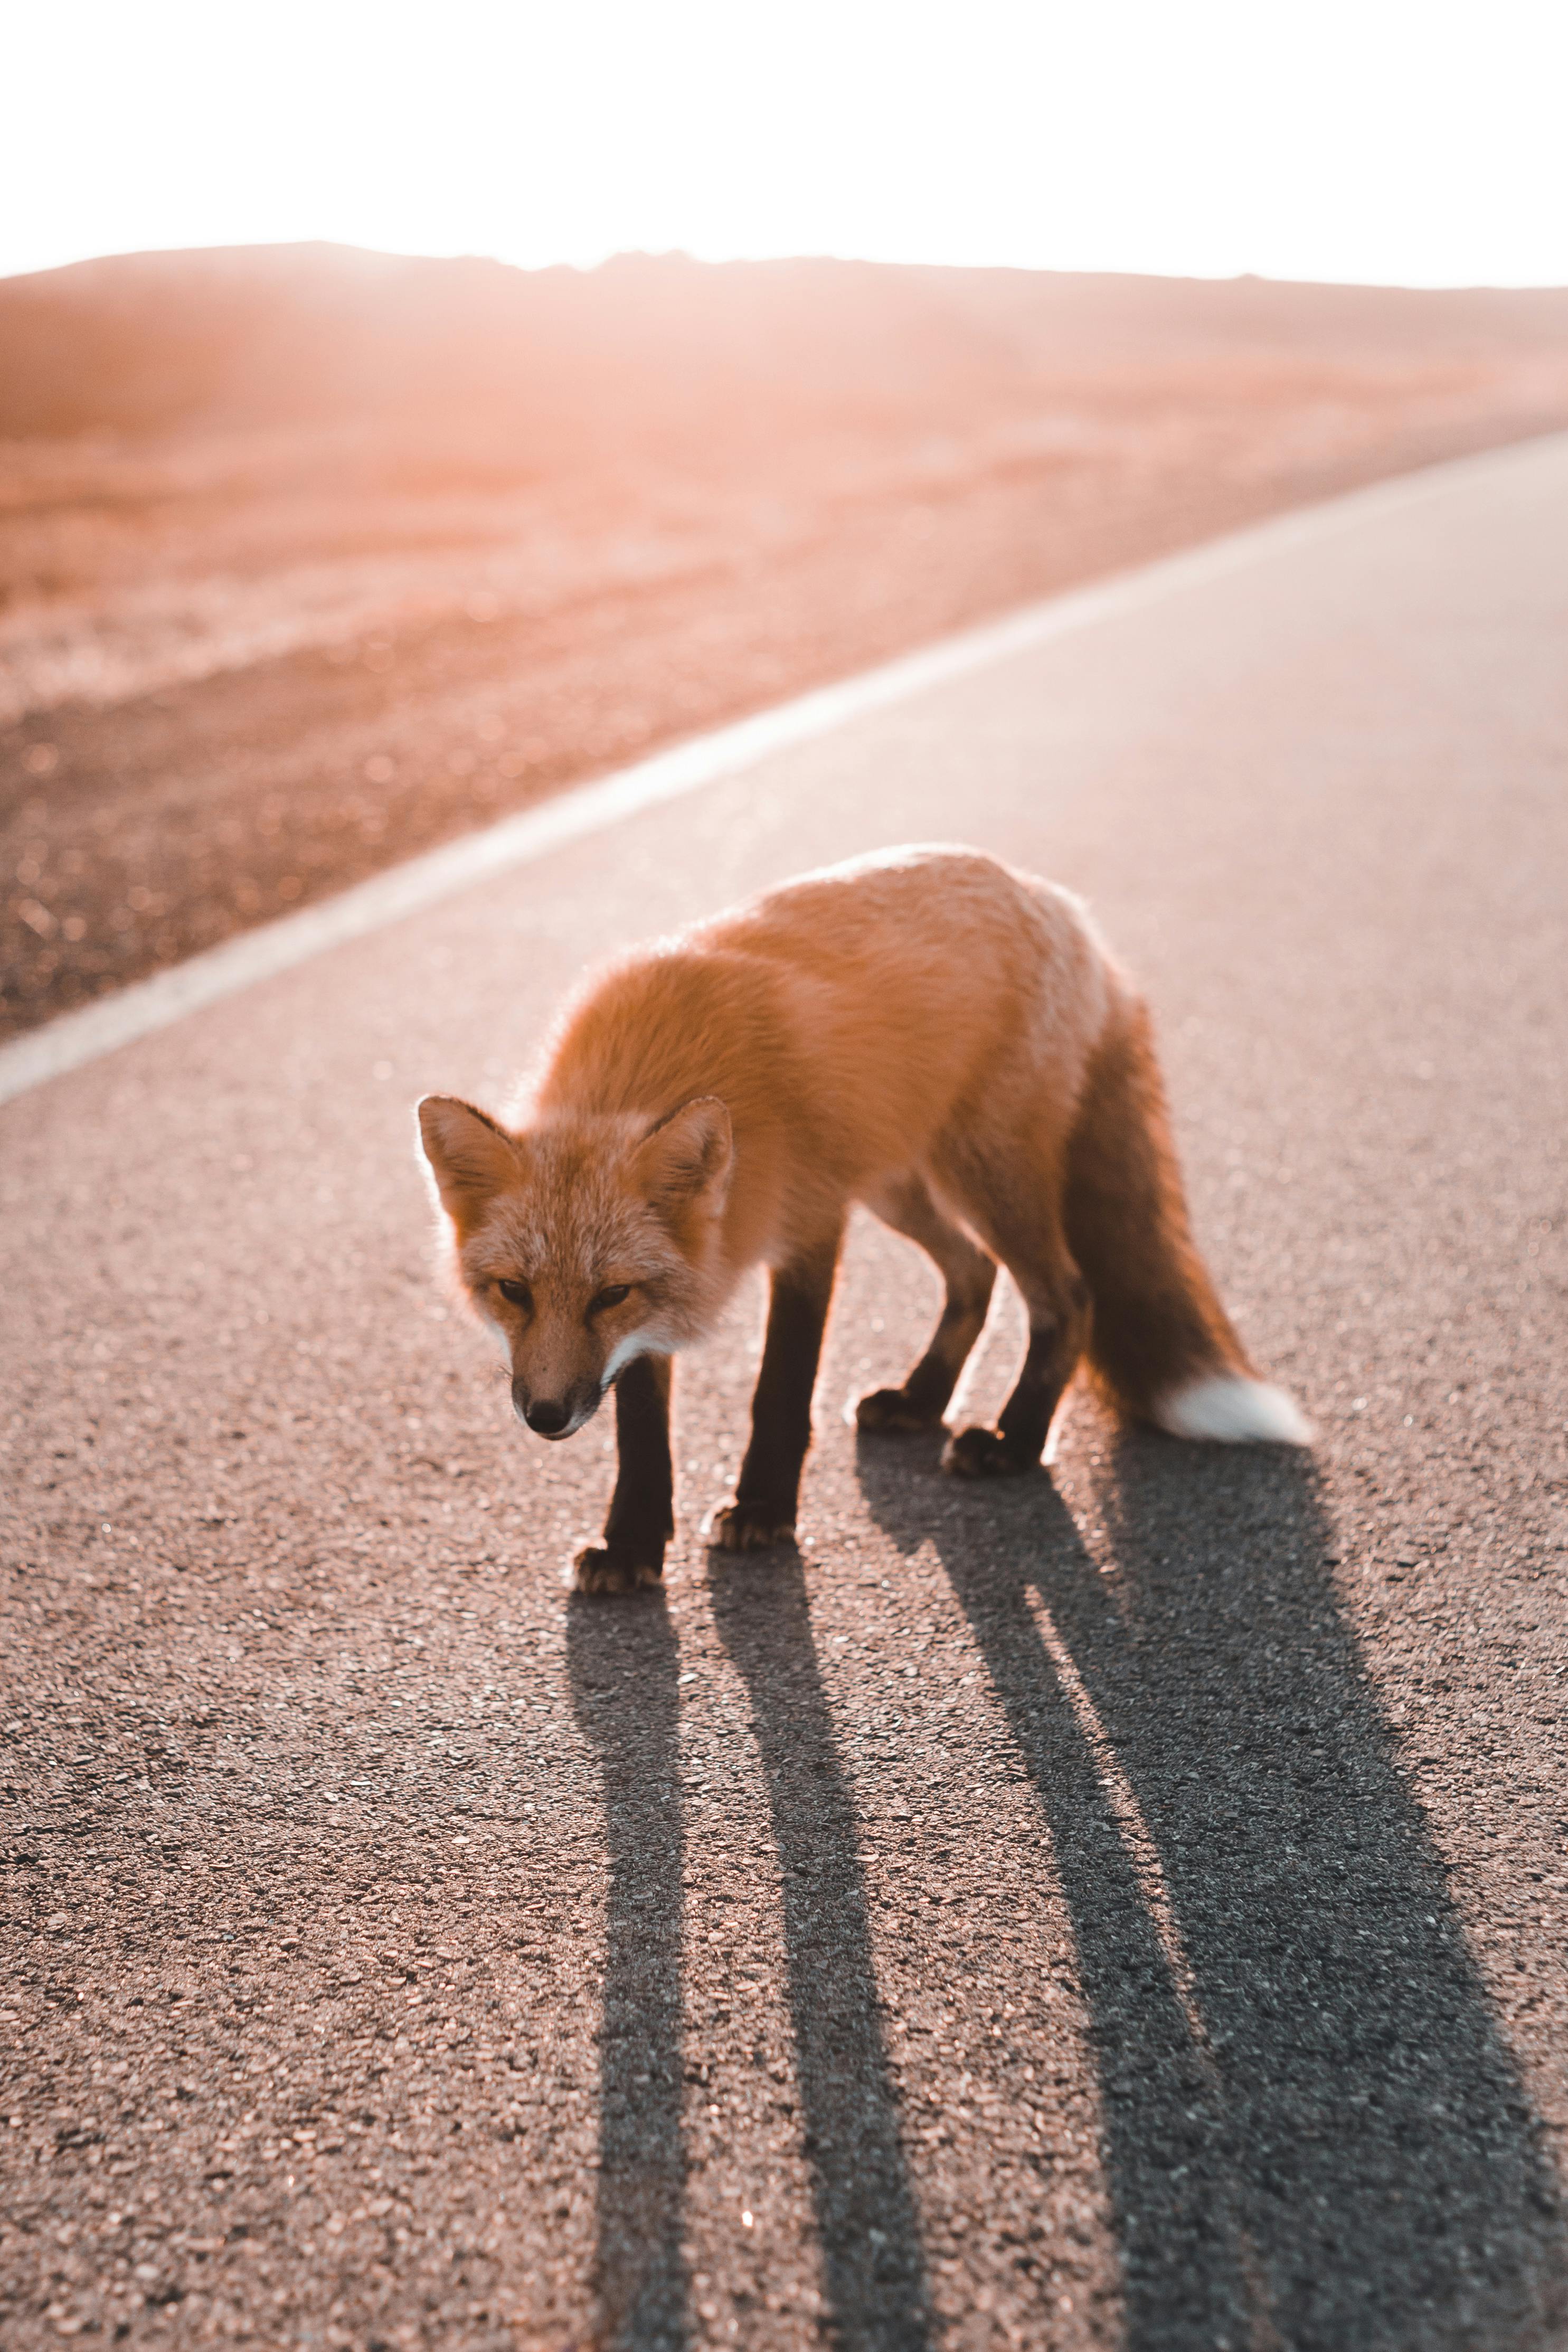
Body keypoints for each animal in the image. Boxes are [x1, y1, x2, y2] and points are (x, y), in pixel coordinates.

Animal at [416, 845, 1310, 1593]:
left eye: (608, 1294)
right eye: (513, 1291)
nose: (545, 1416)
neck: (650, 1061)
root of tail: (1056, 901)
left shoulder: (808, 1224)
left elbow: (780, 1387)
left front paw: (764, 1510)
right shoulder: (676, 1293)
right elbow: (641, 1430)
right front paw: (632, 1543)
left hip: (982, 1171)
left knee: (1067, 1295)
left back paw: (1014, 1442)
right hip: (899, 1186)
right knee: (975, 1272)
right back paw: (920, 1397)